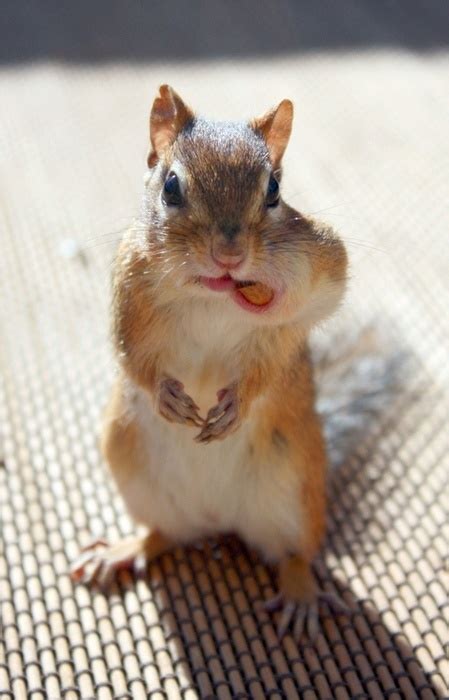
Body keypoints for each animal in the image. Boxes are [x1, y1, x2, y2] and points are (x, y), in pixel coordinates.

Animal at [71, 85, 349, 640]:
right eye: (171, 186)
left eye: (274, 190)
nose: (230, 255)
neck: (212, 294)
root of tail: (219, 517)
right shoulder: (128, 287)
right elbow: (131, 354)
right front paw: (168, 397)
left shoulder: (322, 259)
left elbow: (299, 318)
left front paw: (235, 405)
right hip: (133, 468)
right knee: (164, 534)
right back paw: (124, 549)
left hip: (297, 486)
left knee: (295, 553)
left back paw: (301, 595)